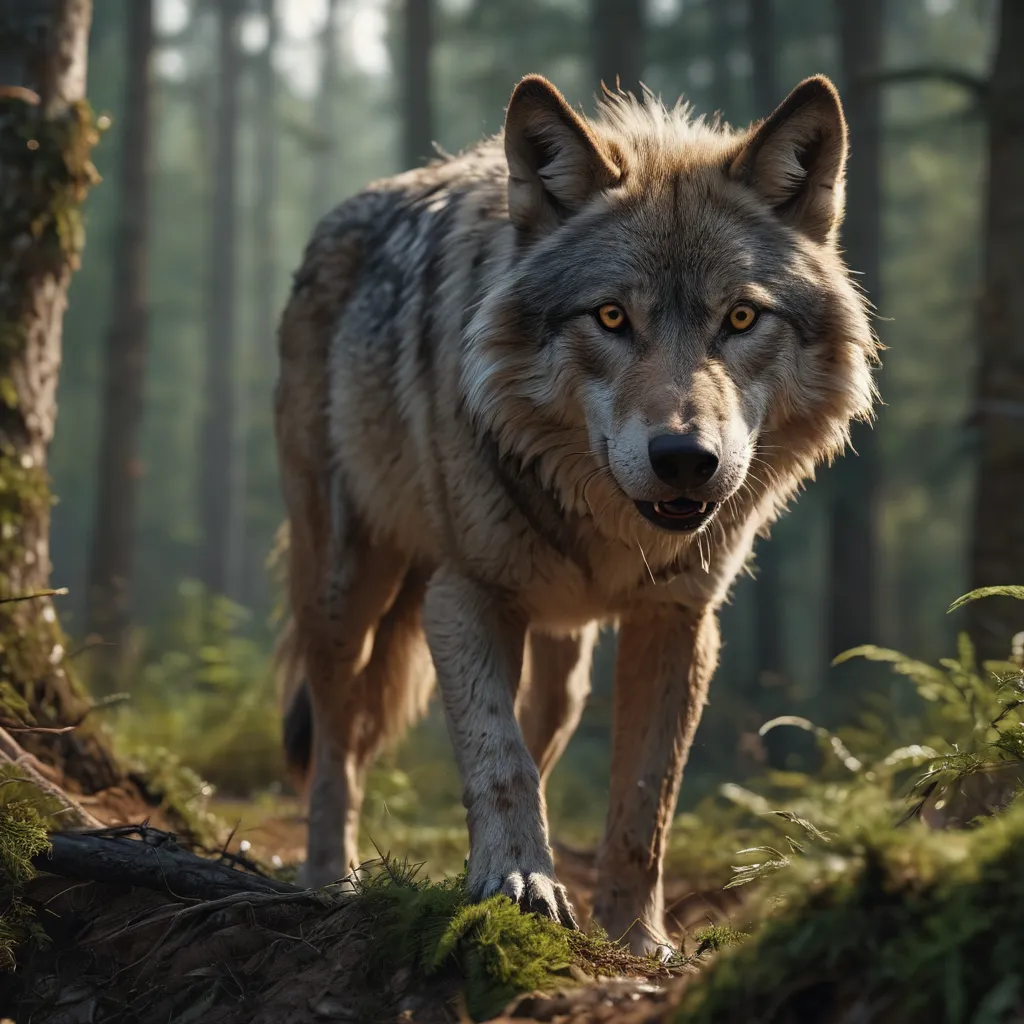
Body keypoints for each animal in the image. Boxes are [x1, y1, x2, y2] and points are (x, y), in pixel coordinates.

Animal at [274, 72, 877, 954]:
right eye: (611, 316)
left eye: (739, 317)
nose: (684, 458)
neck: (612, 530)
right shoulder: (465, 594)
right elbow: (498, 760)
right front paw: (517, 885)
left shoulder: (678, 619)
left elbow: (644, 801)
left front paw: (636, 935)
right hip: (345, 592)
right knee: (335, 744)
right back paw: (329, 877)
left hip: (563, 669)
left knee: (537, 733)